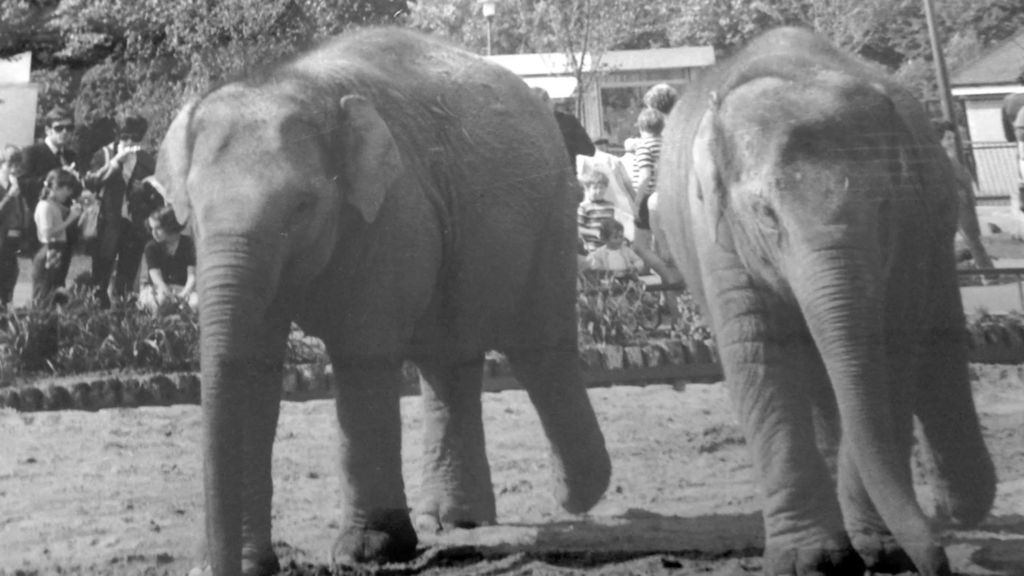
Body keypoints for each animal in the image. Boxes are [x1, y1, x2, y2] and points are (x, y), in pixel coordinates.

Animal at [156, 28, 610, 576]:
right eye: (190, 212)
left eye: (302, 206)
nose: (211, 566)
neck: (298, 83)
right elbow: (252, 366)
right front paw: (252, 563)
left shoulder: (392, 213)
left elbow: (362, 355)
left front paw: (367, 551)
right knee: (451, 359)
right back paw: (456, 520)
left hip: (554, 211)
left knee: (538, 345)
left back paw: (579, 496)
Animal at [654, 28, 996, 576]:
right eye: (765, 213)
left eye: (883, 206)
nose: (936, 563)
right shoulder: (717, 237)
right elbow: (761, 359)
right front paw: (808, 559)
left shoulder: (912, 225)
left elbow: (888, 361)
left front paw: (880, 550)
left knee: (936, 344)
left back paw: (955, 509)